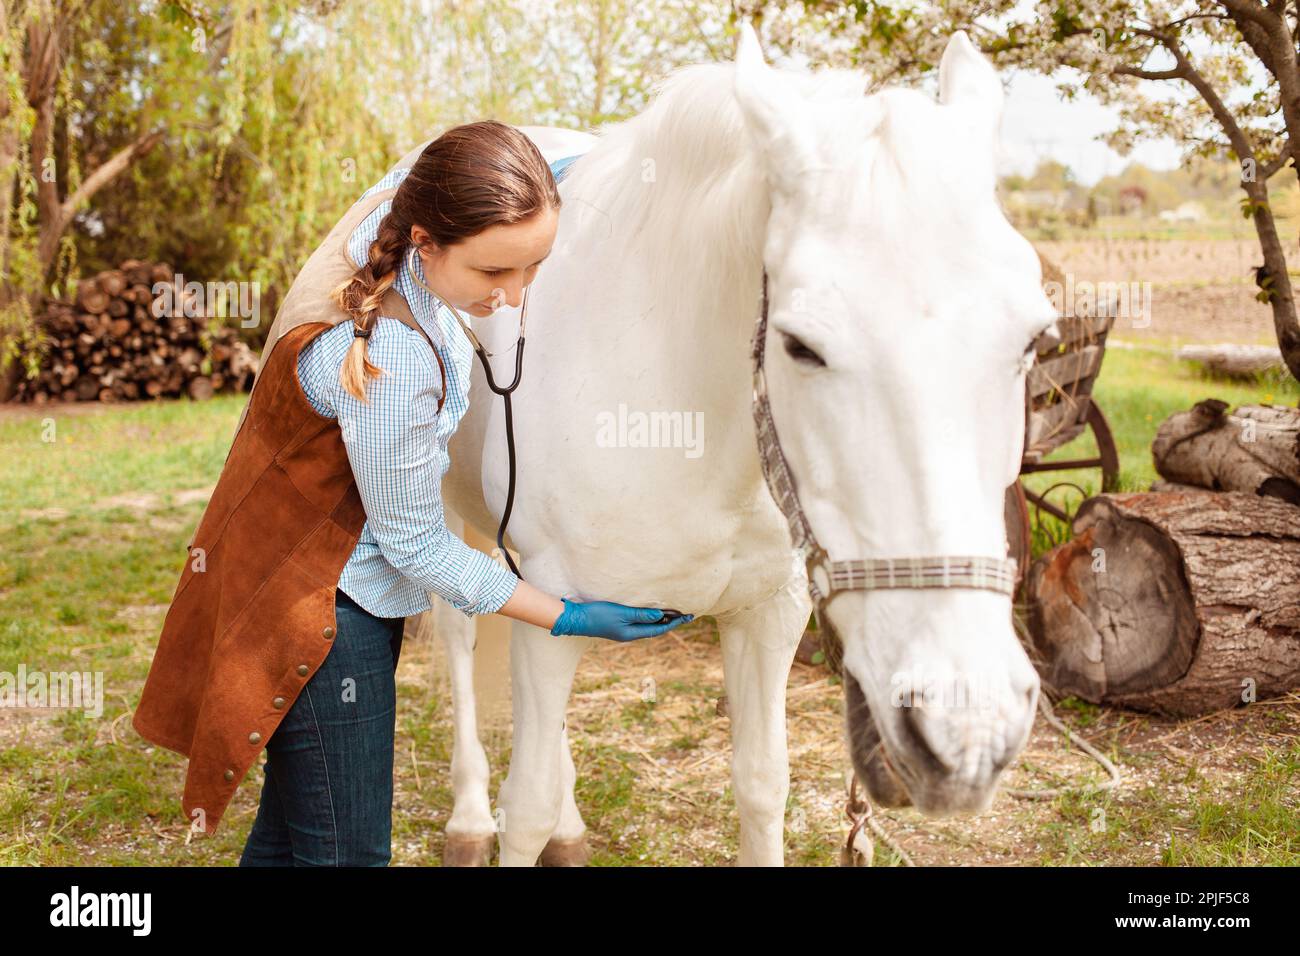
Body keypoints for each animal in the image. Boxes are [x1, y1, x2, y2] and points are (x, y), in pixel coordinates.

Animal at [431, 22, 1055, 866]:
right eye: (800, 346)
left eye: (1033, 338)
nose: (966, 725)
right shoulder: (552, 599)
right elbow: (521, 806)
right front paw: (512, 816)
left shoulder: (764, 613)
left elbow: (763, 785)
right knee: (458, 637)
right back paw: (469, 815)